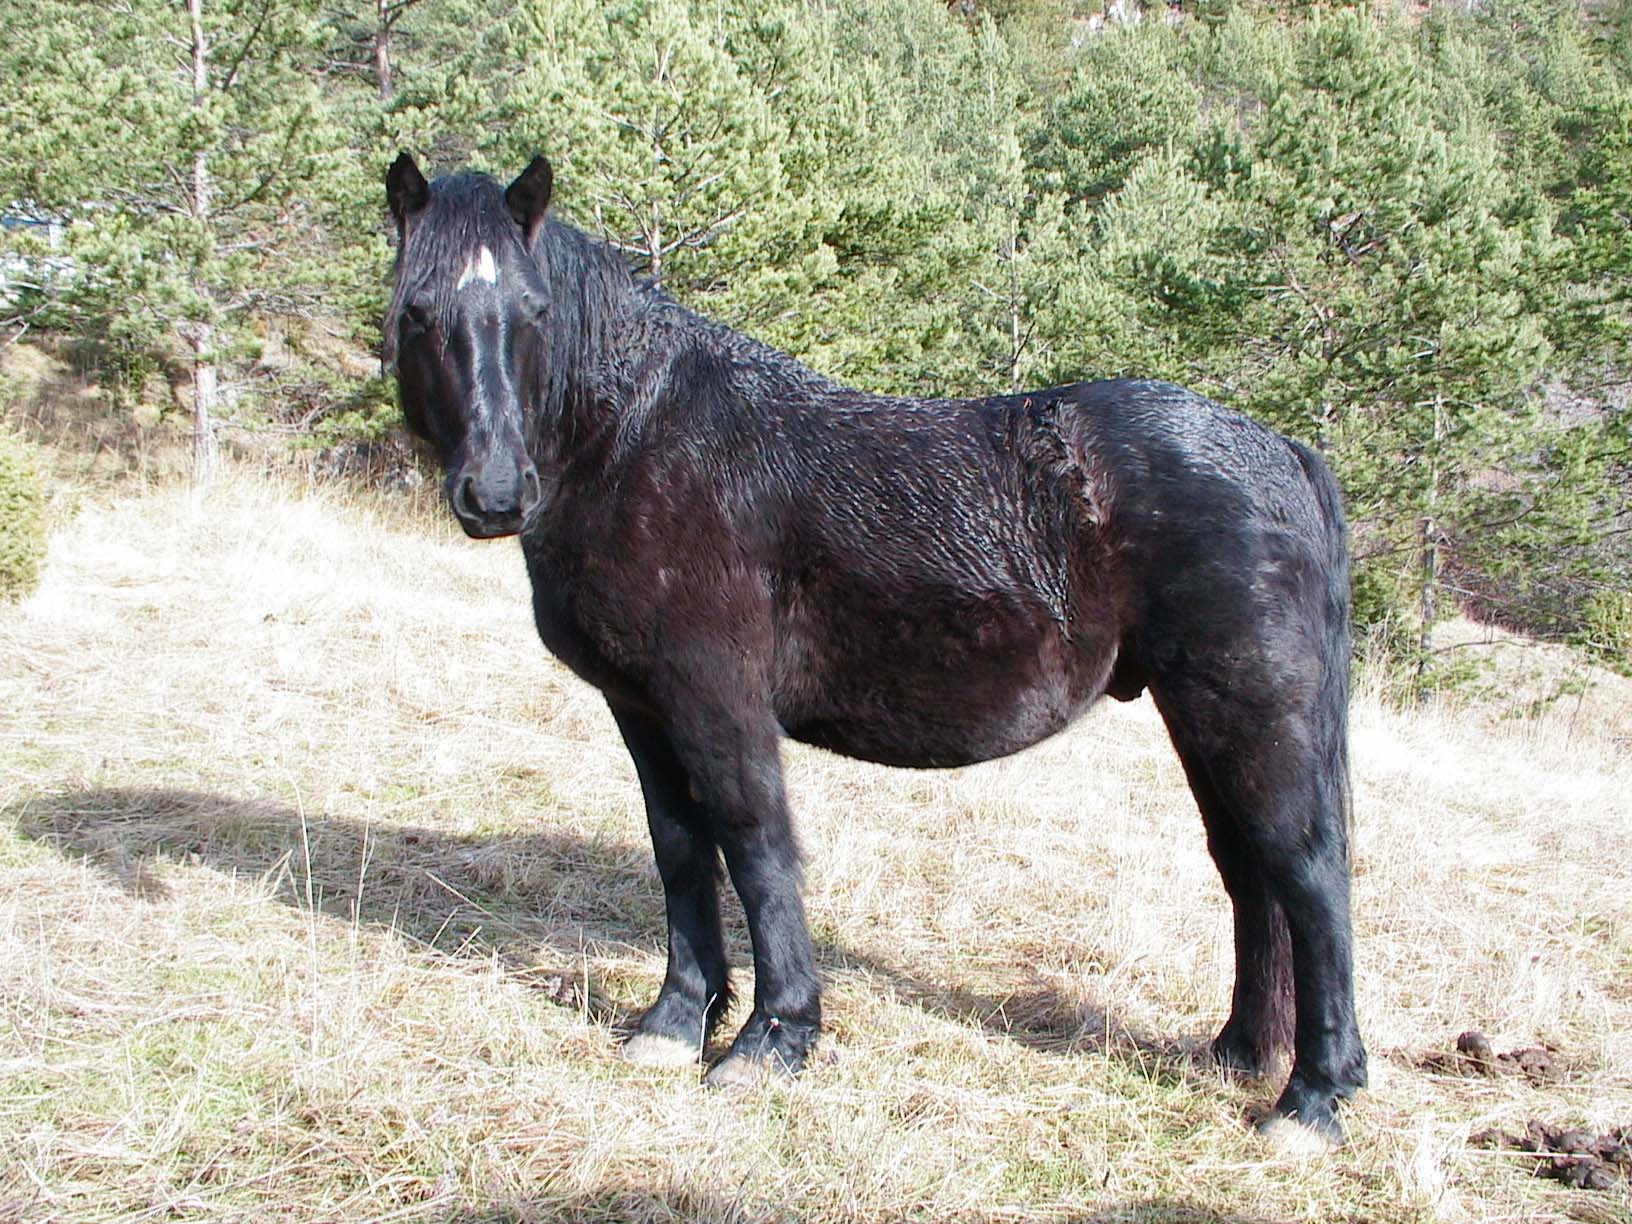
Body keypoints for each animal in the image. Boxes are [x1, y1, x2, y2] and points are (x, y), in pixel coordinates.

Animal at [382, 152, 1368, 1149]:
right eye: (417, 311)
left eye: (535, 311)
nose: (496, 494)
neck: (639, 438)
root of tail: (1280, 450)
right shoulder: (642, 705)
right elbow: (680, 849)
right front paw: (674, 1023)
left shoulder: (716, 700)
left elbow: (755, 845)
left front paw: (772, 1039)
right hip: (1202, 716)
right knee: (1249, 869)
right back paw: (1239, 1051)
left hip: (1251, 713)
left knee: (1310, 873)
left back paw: (1312, 1098)